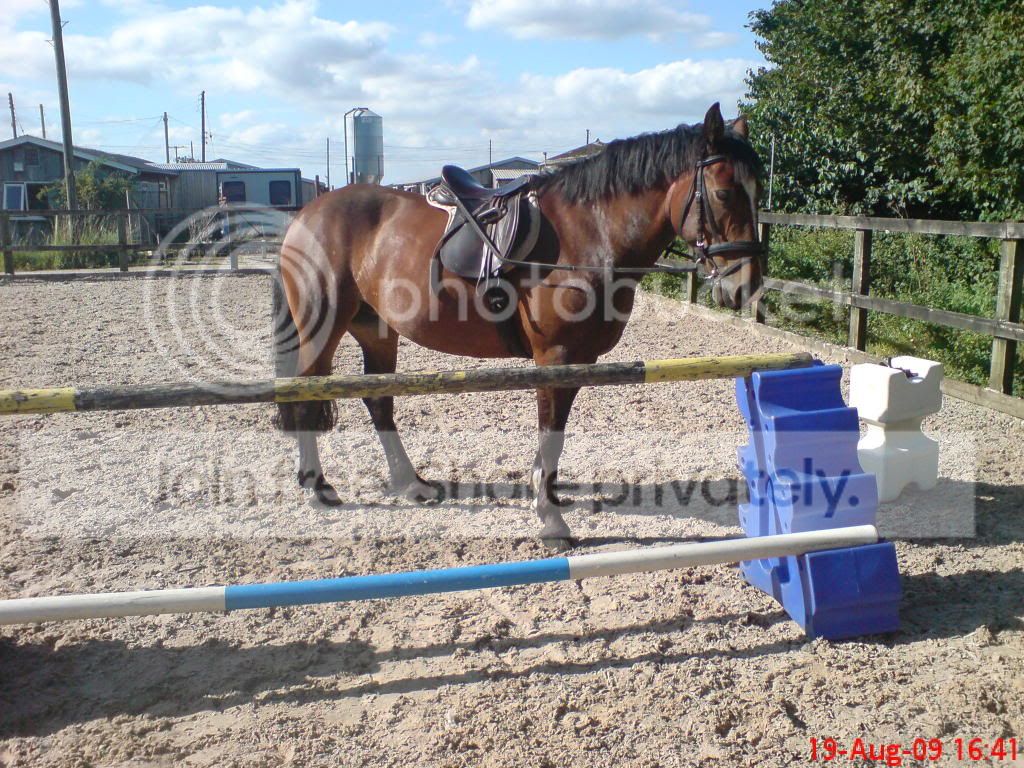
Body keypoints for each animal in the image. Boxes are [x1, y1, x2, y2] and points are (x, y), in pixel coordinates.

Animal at [273, 103, 764, 550]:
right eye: (724, 194)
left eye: (759, 192)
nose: (747, 285)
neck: (588, 234)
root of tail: (308, 214)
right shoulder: (555, 358)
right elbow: (550, 435)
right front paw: (550, 521)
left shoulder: (578, 361)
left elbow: (556, 437)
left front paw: (552, 499)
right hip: (322, 328)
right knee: (306, 392)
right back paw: (317, 486)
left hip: (375, 329)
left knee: (378, 400)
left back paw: (410, 483)